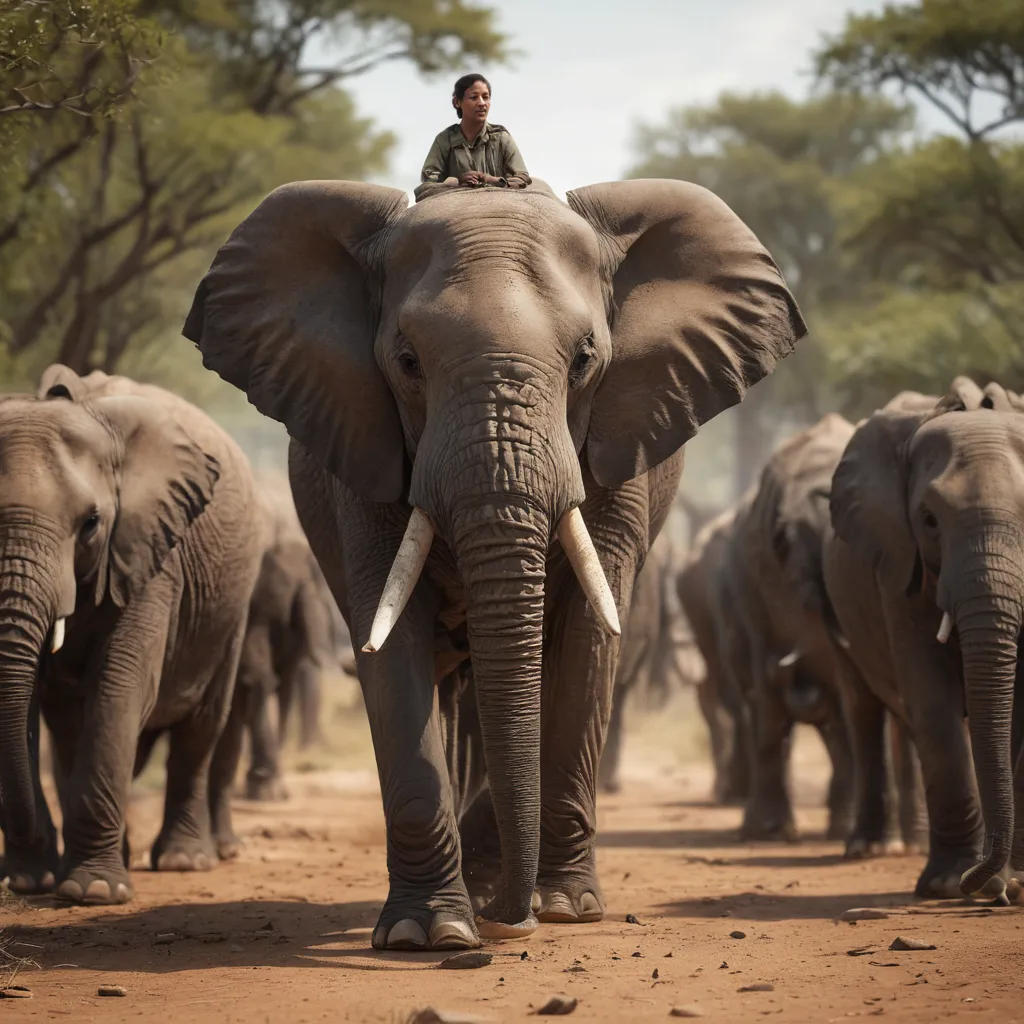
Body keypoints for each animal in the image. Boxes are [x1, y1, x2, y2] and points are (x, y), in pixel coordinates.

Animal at [0, 365, 263, 904]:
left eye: (91, 523)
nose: (21, 880)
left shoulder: (153, 551)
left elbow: (120, 683)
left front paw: (94, 893)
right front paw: (37, 880)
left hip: (232, 609)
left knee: (200, 730)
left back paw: (184, 862)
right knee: (70, 730)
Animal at [183, 176, 805, 950]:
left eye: (585, 360)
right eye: (407, 362)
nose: (514, 923)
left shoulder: (618, 450)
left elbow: (583, 645)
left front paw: (563, 907)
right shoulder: (364, 445)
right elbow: (393, 642)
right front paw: (428, 933)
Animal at [824, 378, 1024, 899]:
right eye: (930, 520)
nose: (986, 886)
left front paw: (1015, 886)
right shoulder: (899, 562)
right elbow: (933, 703)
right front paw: (952, 883)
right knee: (868, 710)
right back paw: (874, 849)